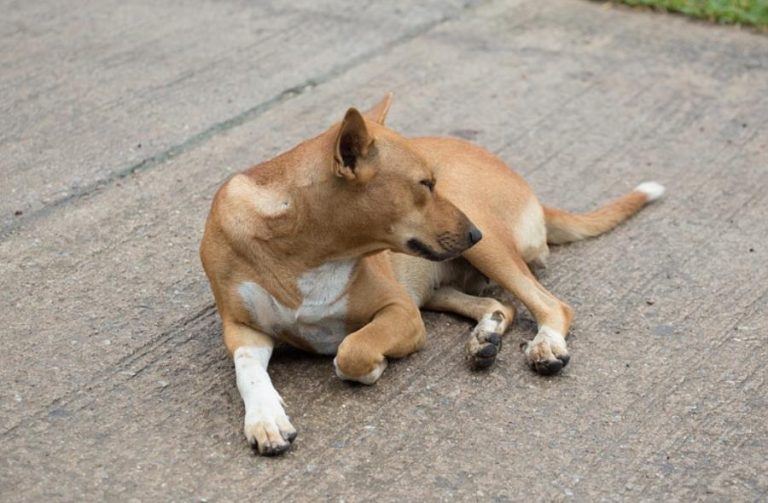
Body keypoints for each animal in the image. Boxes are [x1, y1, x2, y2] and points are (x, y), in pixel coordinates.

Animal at [201, 94, 664, 456]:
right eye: (424, 184)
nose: (473, 232)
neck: (304, 247)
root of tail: (528, 188)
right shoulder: (243, 329)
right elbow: (248, 371)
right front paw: (265, 419)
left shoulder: (400, 311)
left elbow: (351, 350)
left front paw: (370, 368)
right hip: (441, 278)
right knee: (500, 304)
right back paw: (485, 337)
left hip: (486, 246)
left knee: (552, 304)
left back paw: (545, 344)